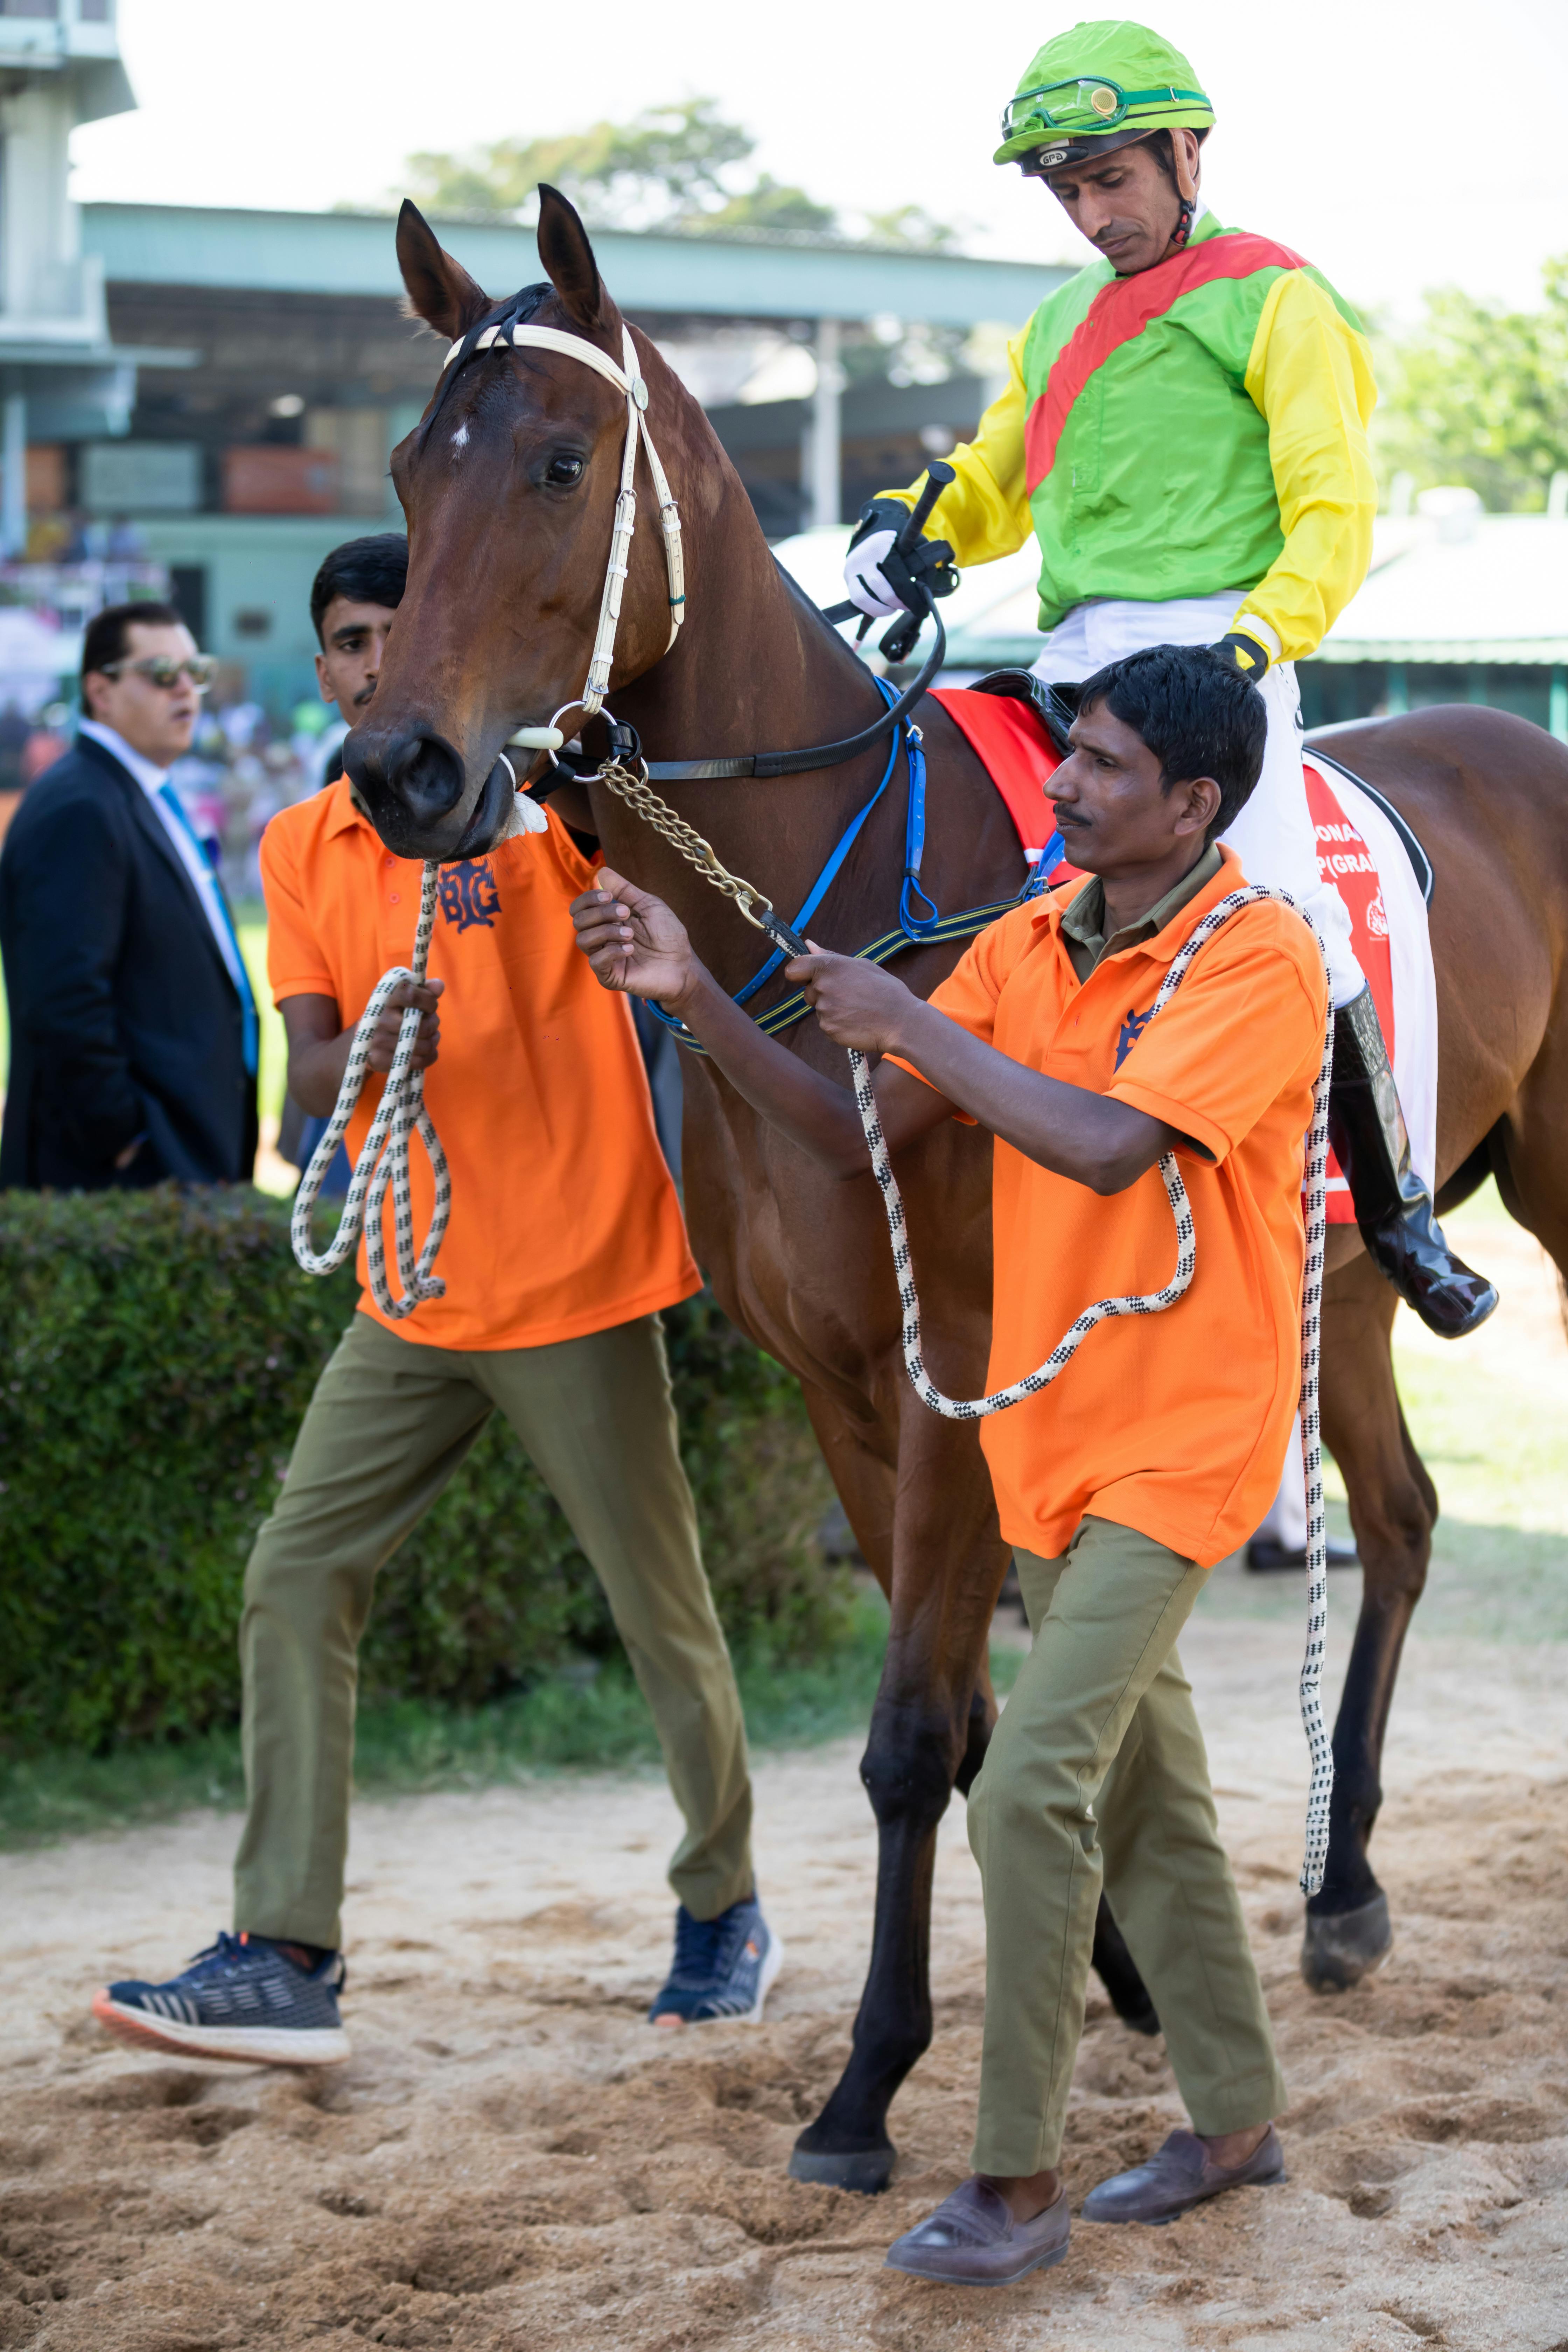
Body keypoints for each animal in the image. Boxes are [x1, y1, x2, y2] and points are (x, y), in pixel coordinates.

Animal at [345, 186, 1568, 2186]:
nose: (400, 769)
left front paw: (865, 2084)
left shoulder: (957, 1379)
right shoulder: (847, 1390)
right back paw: (1340, 1890)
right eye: (403, 465)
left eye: (557, 462)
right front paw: (1123, 1969)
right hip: (1340, 1279)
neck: (832, 899)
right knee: (1392, 1516)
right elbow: (996, 1711)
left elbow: (921, 1728)